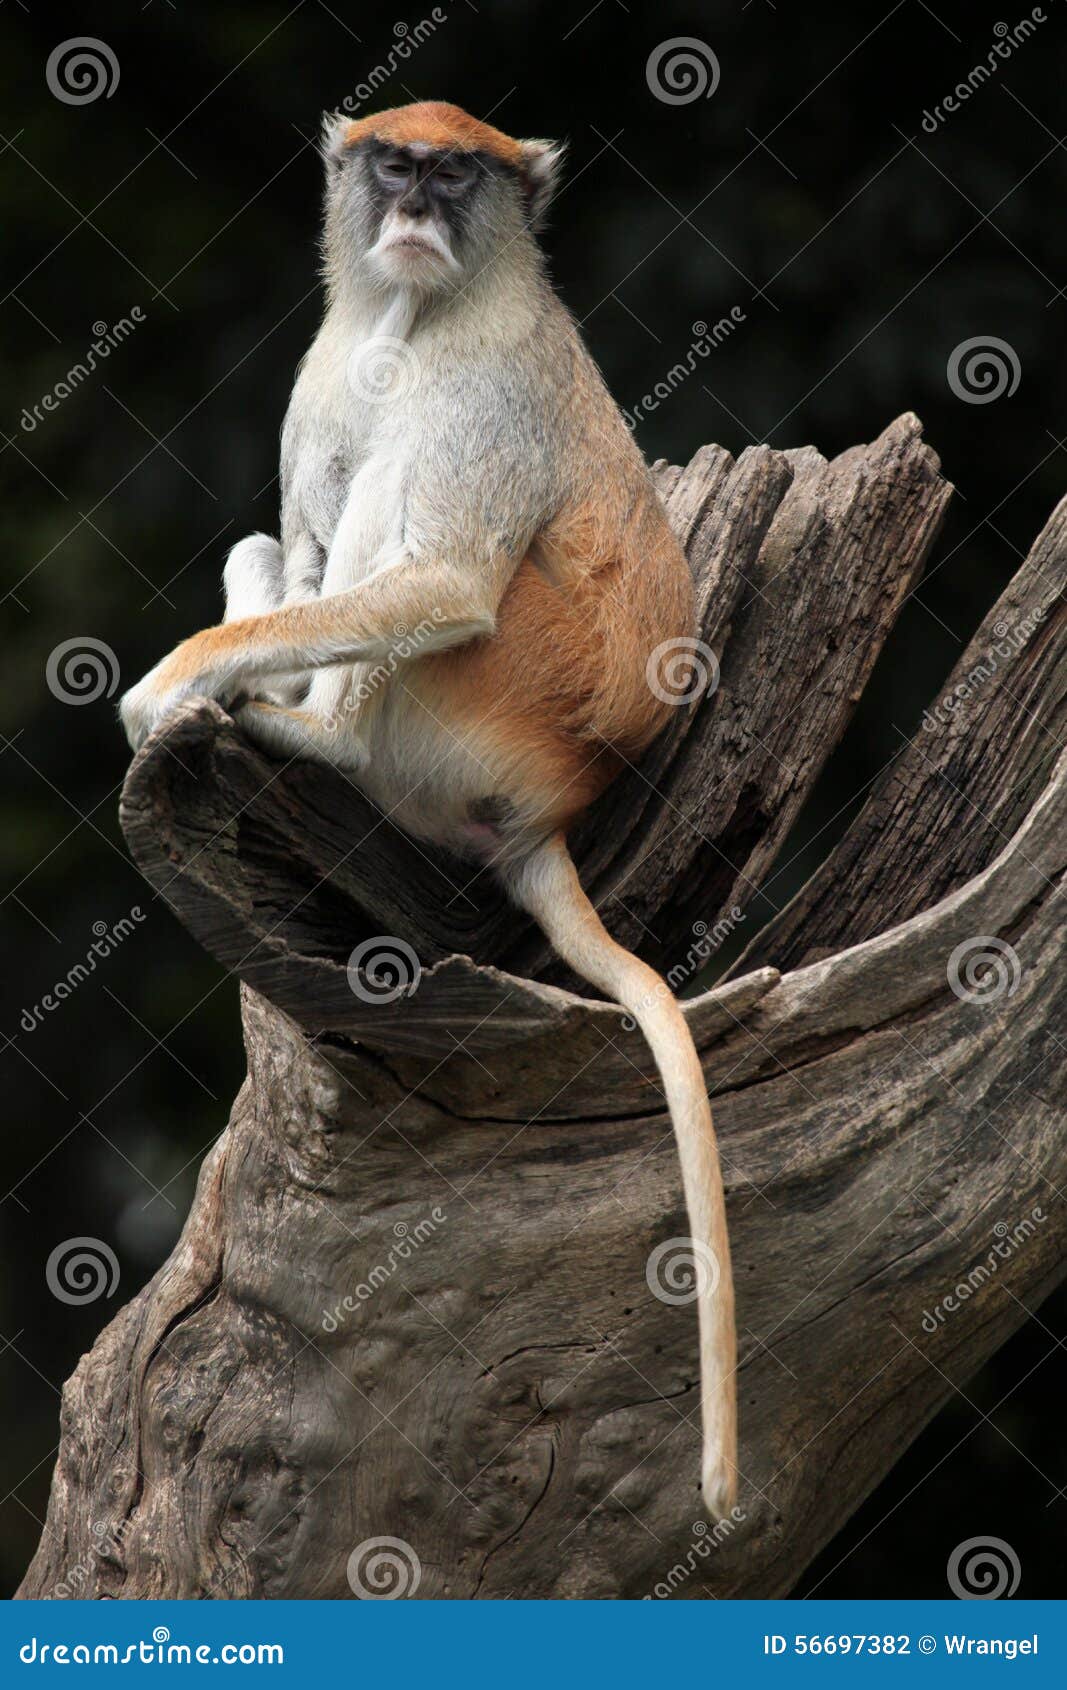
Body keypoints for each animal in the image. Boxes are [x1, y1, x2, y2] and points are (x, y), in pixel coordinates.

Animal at [120, 101, 738, 1519]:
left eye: (457, 175)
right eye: (393, 164)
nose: (413, 206)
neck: (415, 311)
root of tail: (558, 801)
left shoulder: (484, 394)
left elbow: (443, 574)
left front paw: (178, 681)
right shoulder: (324, 375)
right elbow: (288, 538)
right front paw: (234, 658)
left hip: (504, 690)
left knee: (412, 535)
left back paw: (313, 733)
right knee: (289, 543)